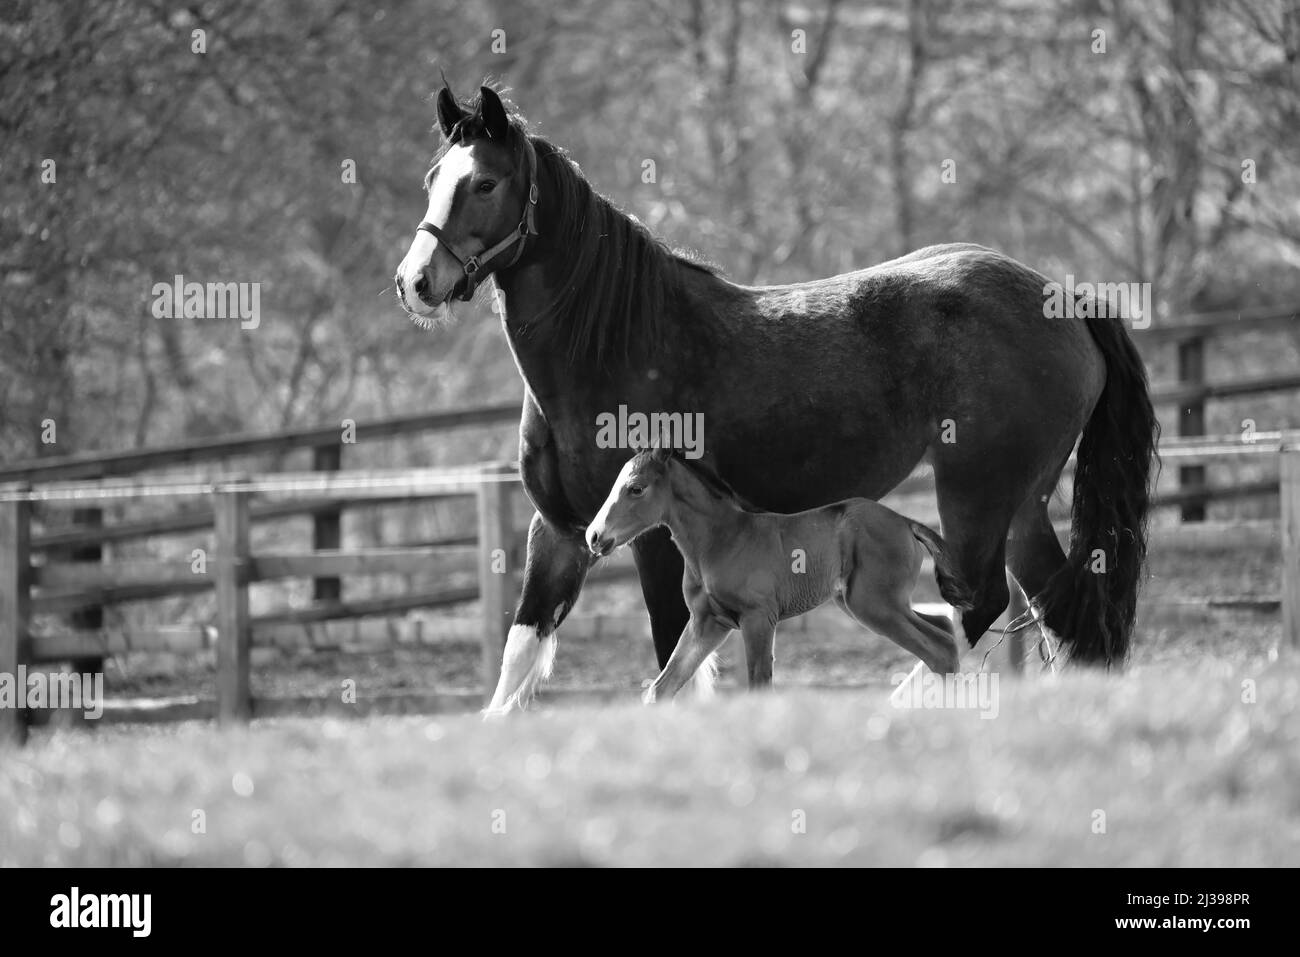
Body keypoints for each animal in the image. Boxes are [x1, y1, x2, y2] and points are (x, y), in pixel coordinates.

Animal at [584, 447, 976, 701]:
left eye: (636, 488)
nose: (594, 536)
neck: (721, 540)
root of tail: (907, 522)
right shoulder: (708, 622)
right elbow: (662, 687)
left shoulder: (758, 618)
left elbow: (759, 684)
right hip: (869, 604)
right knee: (943, 631)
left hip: (875, 605)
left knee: (939, 647)